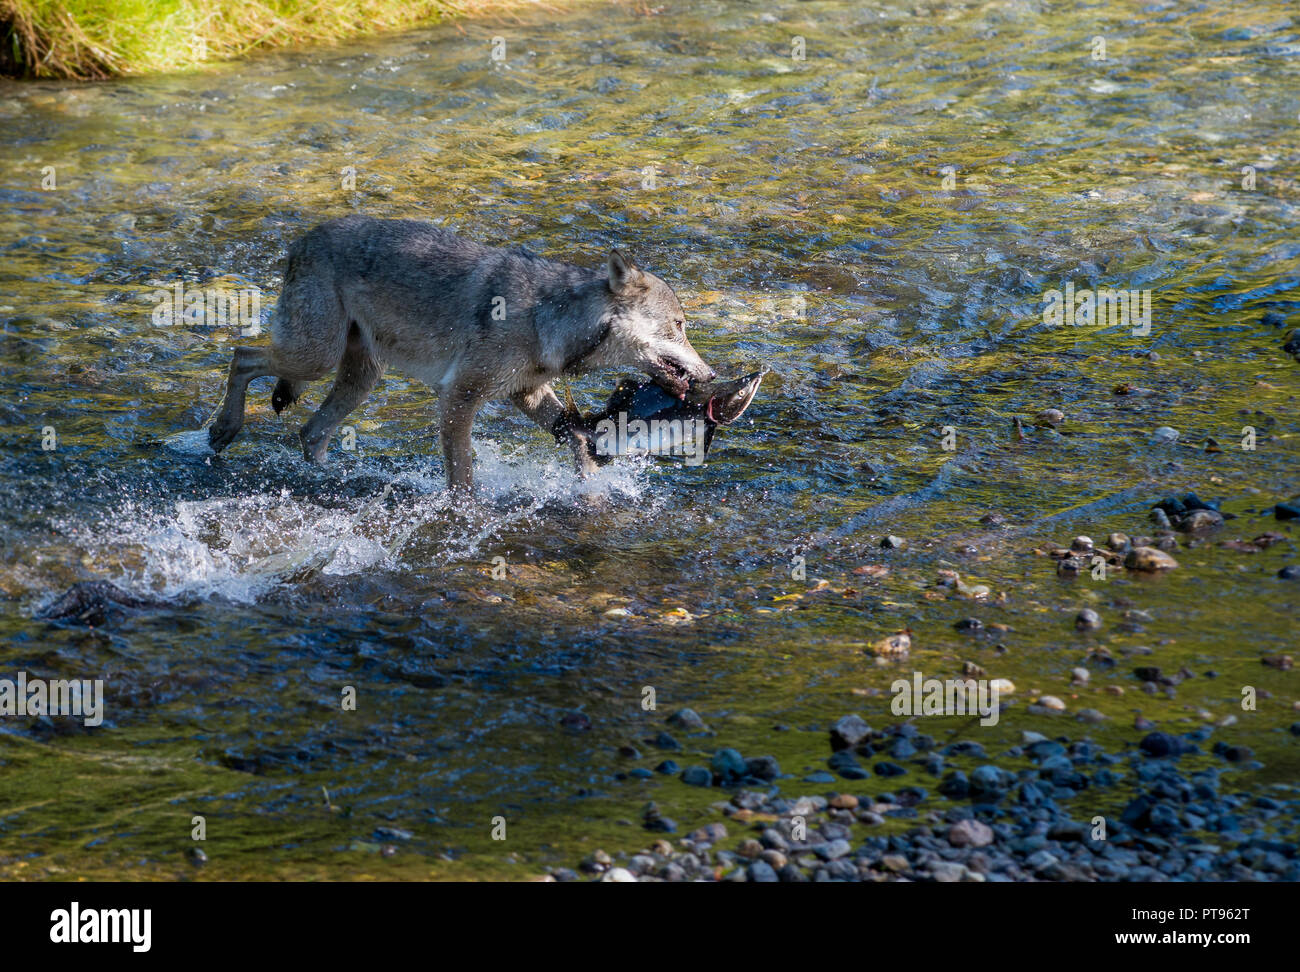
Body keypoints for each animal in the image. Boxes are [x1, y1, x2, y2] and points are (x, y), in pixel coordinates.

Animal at [206, 216, 715, 489]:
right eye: (679, 326)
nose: (711, 376)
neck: (548, 318)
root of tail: (300, 239)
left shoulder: (526, 393)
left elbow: (577, 439)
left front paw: (591, 493)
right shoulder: (458, 397)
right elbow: (464, 479)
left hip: (358, 379)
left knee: (310, 432)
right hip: (315, 359)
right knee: (242, 355)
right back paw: (223, 430)